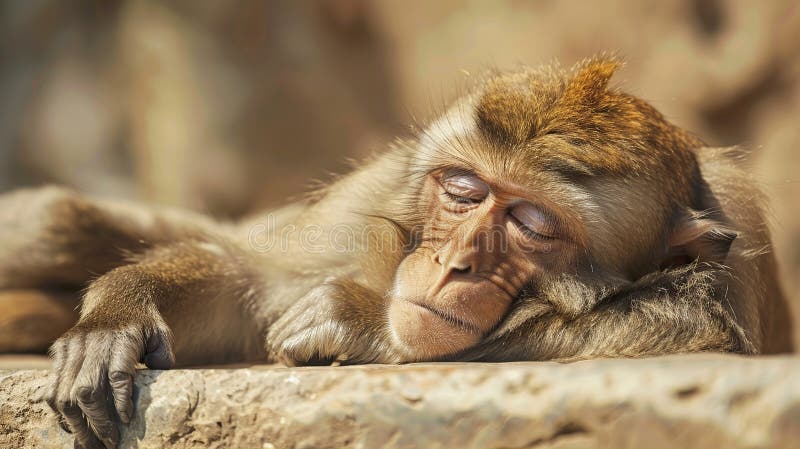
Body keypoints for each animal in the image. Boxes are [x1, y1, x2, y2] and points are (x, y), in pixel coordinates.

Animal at [0, 56, 793, 449]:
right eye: (464, 189)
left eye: (535, 223)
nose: (454, 262)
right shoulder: (369, 201)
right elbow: (245, 284)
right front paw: (116, 319)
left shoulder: (739, 240)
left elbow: (697, 322)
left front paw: (361, 321)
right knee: (53, 220)